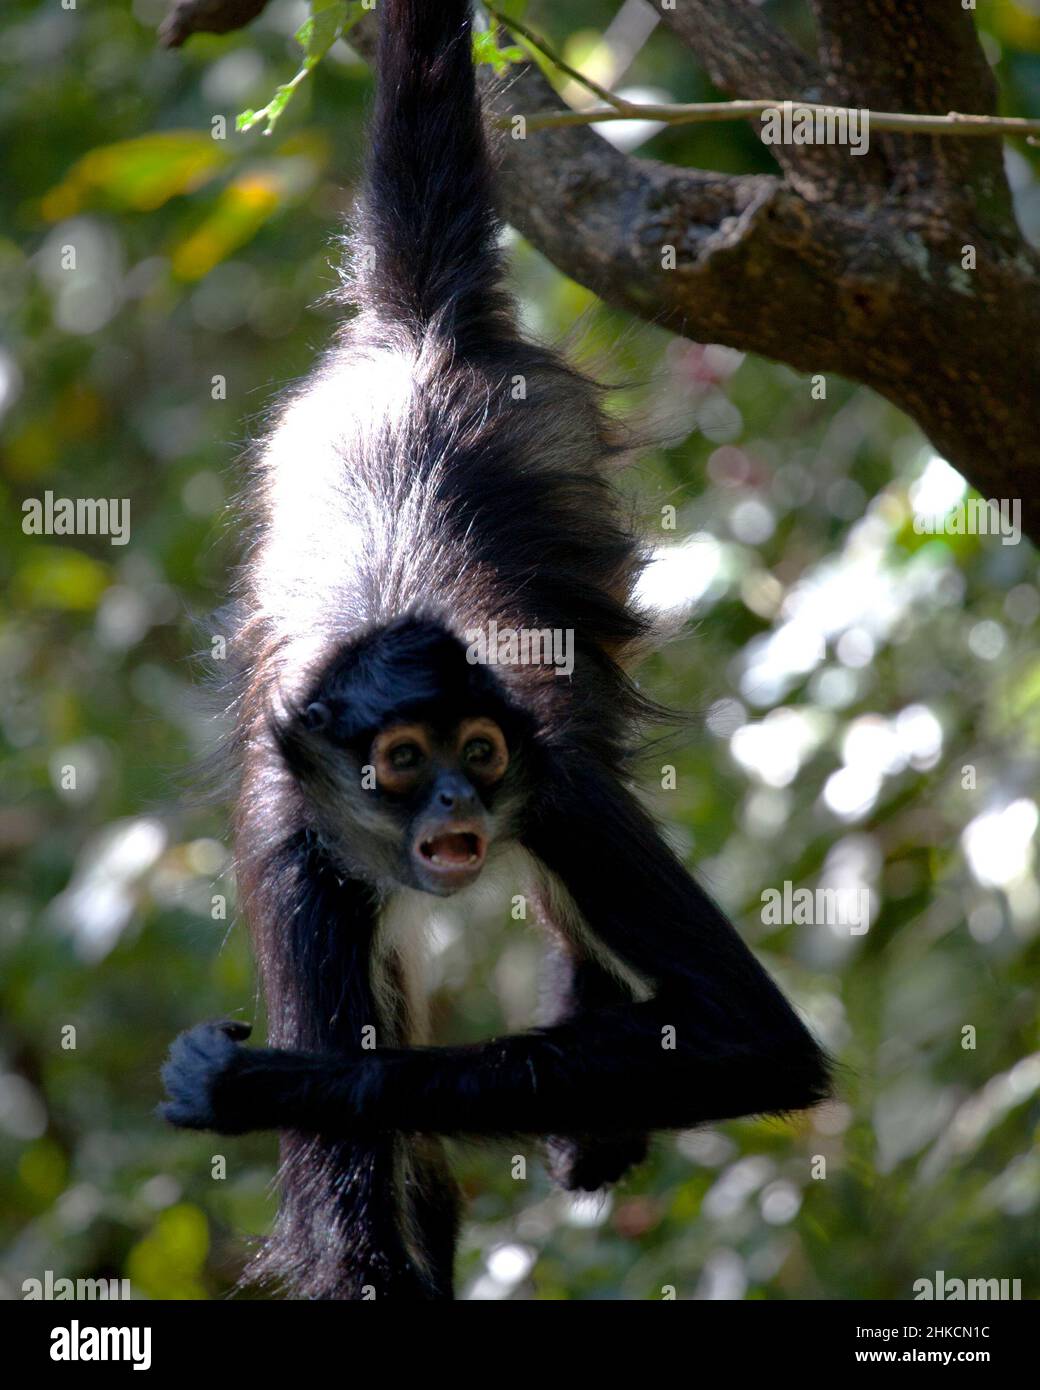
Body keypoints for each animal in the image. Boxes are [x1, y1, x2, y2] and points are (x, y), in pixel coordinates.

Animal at [160, 0, 831, 1301]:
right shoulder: (296, 848)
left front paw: (281, 1083)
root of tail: (419, 330)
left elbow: (752, 1041)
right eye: (400, 762)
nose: (458, 801)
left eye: (472, 748)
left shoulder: (554, 786)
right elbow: (357, 1240)